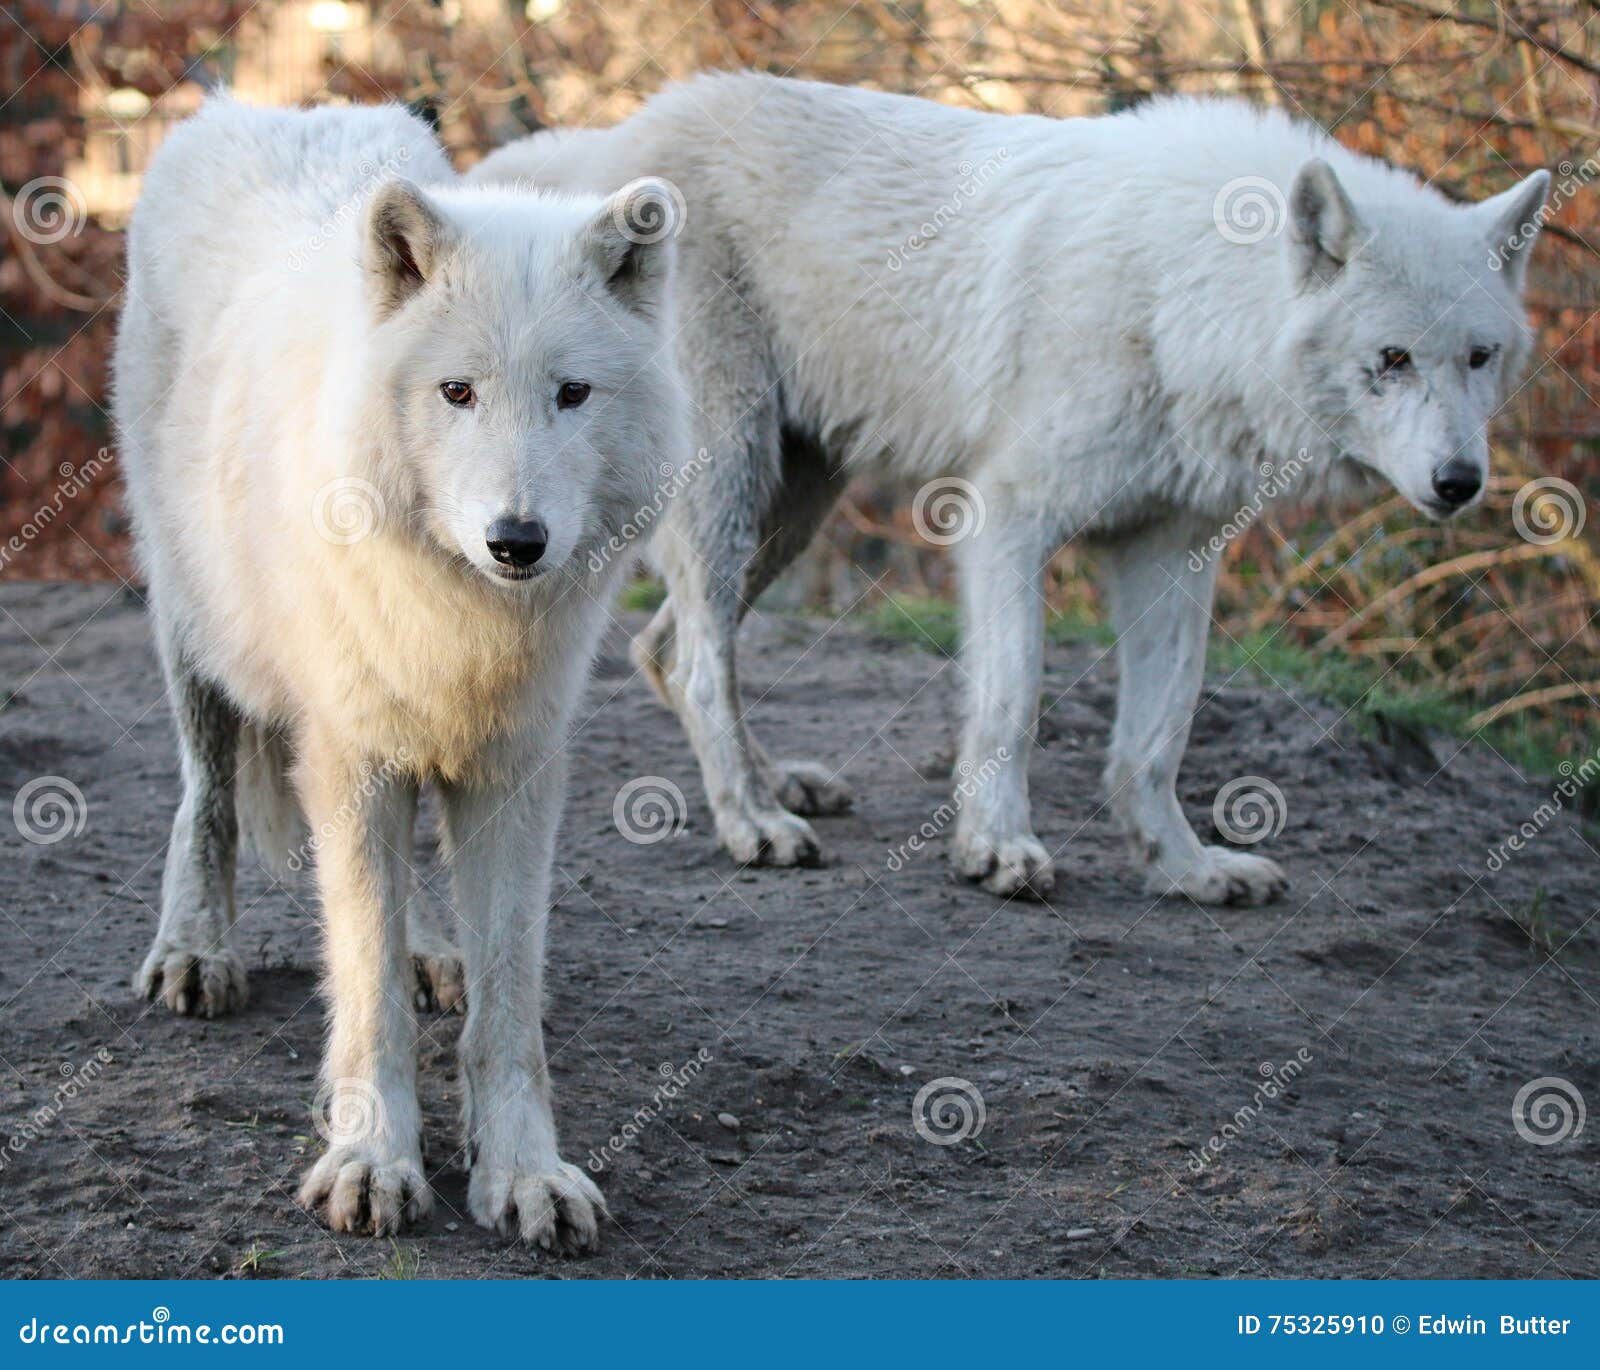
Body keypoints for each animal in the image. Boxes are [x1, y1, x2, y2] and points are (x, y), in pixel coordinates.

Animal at [116, 97, 686, 1246]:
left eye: (572, 394)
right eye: (456, 391)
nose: (517, 539)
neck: (465, 616)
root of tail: (257, 109)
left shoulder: (513, 769)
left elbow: (507, 1009)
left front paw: (523, 1174)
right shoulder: (350, 756)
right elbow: (364, 987)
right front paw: (371, 1159)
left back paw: (431, 949)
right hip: (196, 627)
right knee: (206, 796)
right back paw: (196, 949)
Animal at [471, 74, 1549, 903]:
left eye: (1479, 357)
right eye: (1391, 359)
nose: (1460, 482)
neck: (1182, 295)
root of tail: (611, 138)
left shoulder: (1172, 550)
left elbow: (1159, 733)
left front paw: (1184, 867)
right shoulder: (1006, 521)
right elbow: (1012, 699)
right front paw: (995, 848)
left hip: (795, 504)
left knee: (670, 649)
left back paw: (783, 787)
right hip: (730, 483)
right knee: (696, 661)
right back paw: (754, 823)